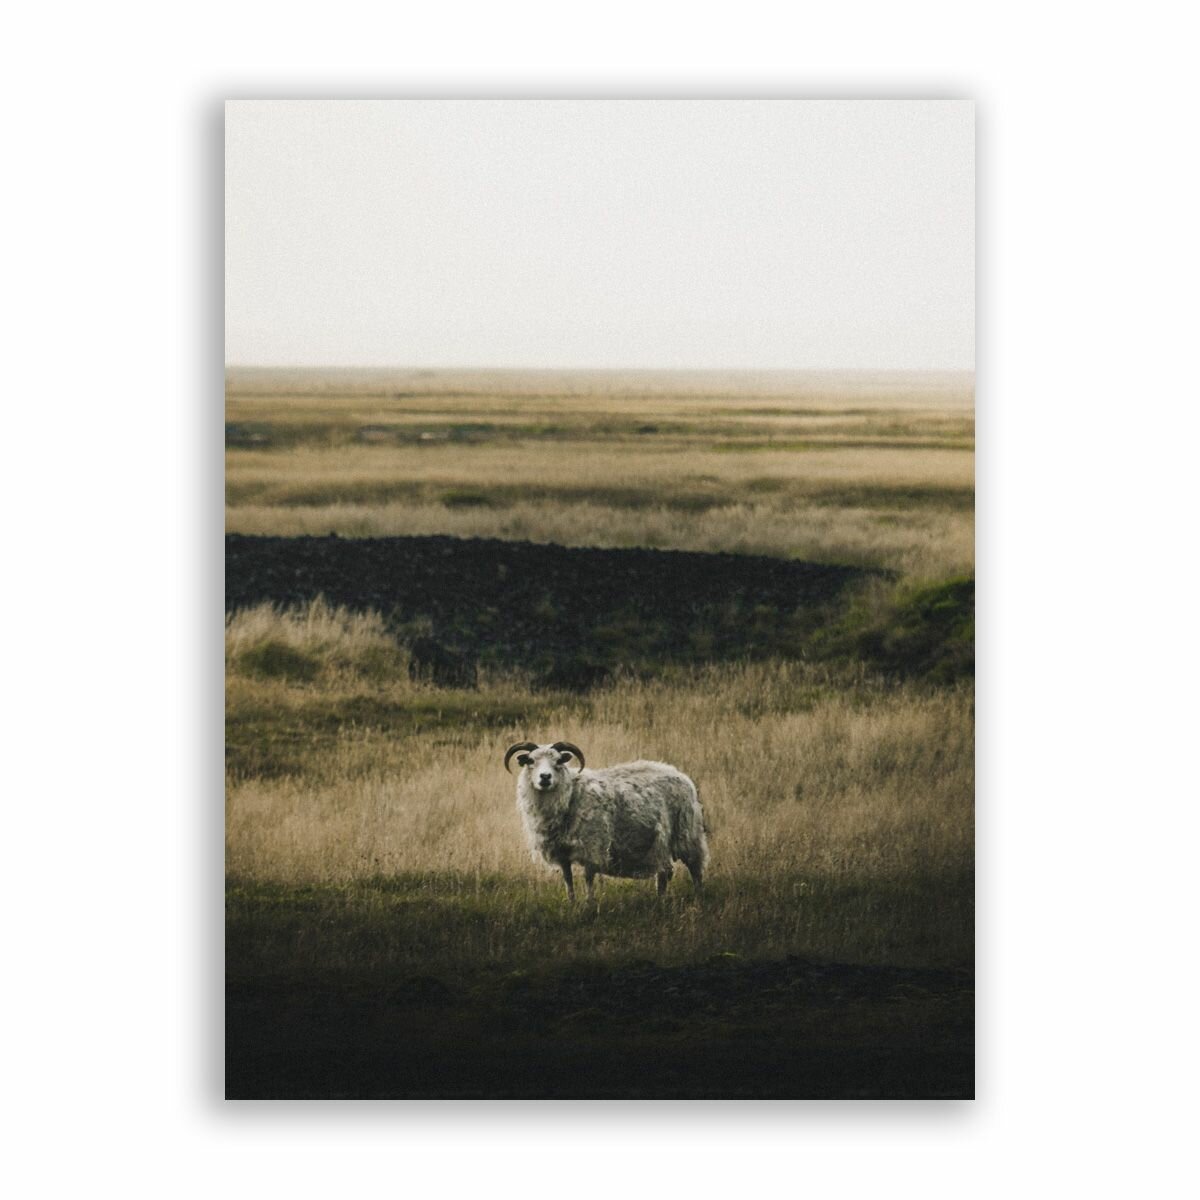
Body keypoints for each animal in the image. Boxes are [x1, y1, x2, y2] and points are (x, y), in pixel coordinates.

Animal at [503, 740, 709, 902]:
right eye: (531, 761)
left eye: (559, 761)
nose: (545, 777)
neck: (571, 795)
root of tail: (681, 775)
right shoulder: (562, 853)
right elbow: (568, 880)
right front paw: (572, 904)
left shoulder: (592, 846)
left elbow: (588, 878)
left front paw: (589, 905)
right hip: (658, 844)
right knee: (664, 873)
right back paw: (660, 900)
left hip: (687, 833)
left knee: (695, 868)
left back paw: (698, 898)